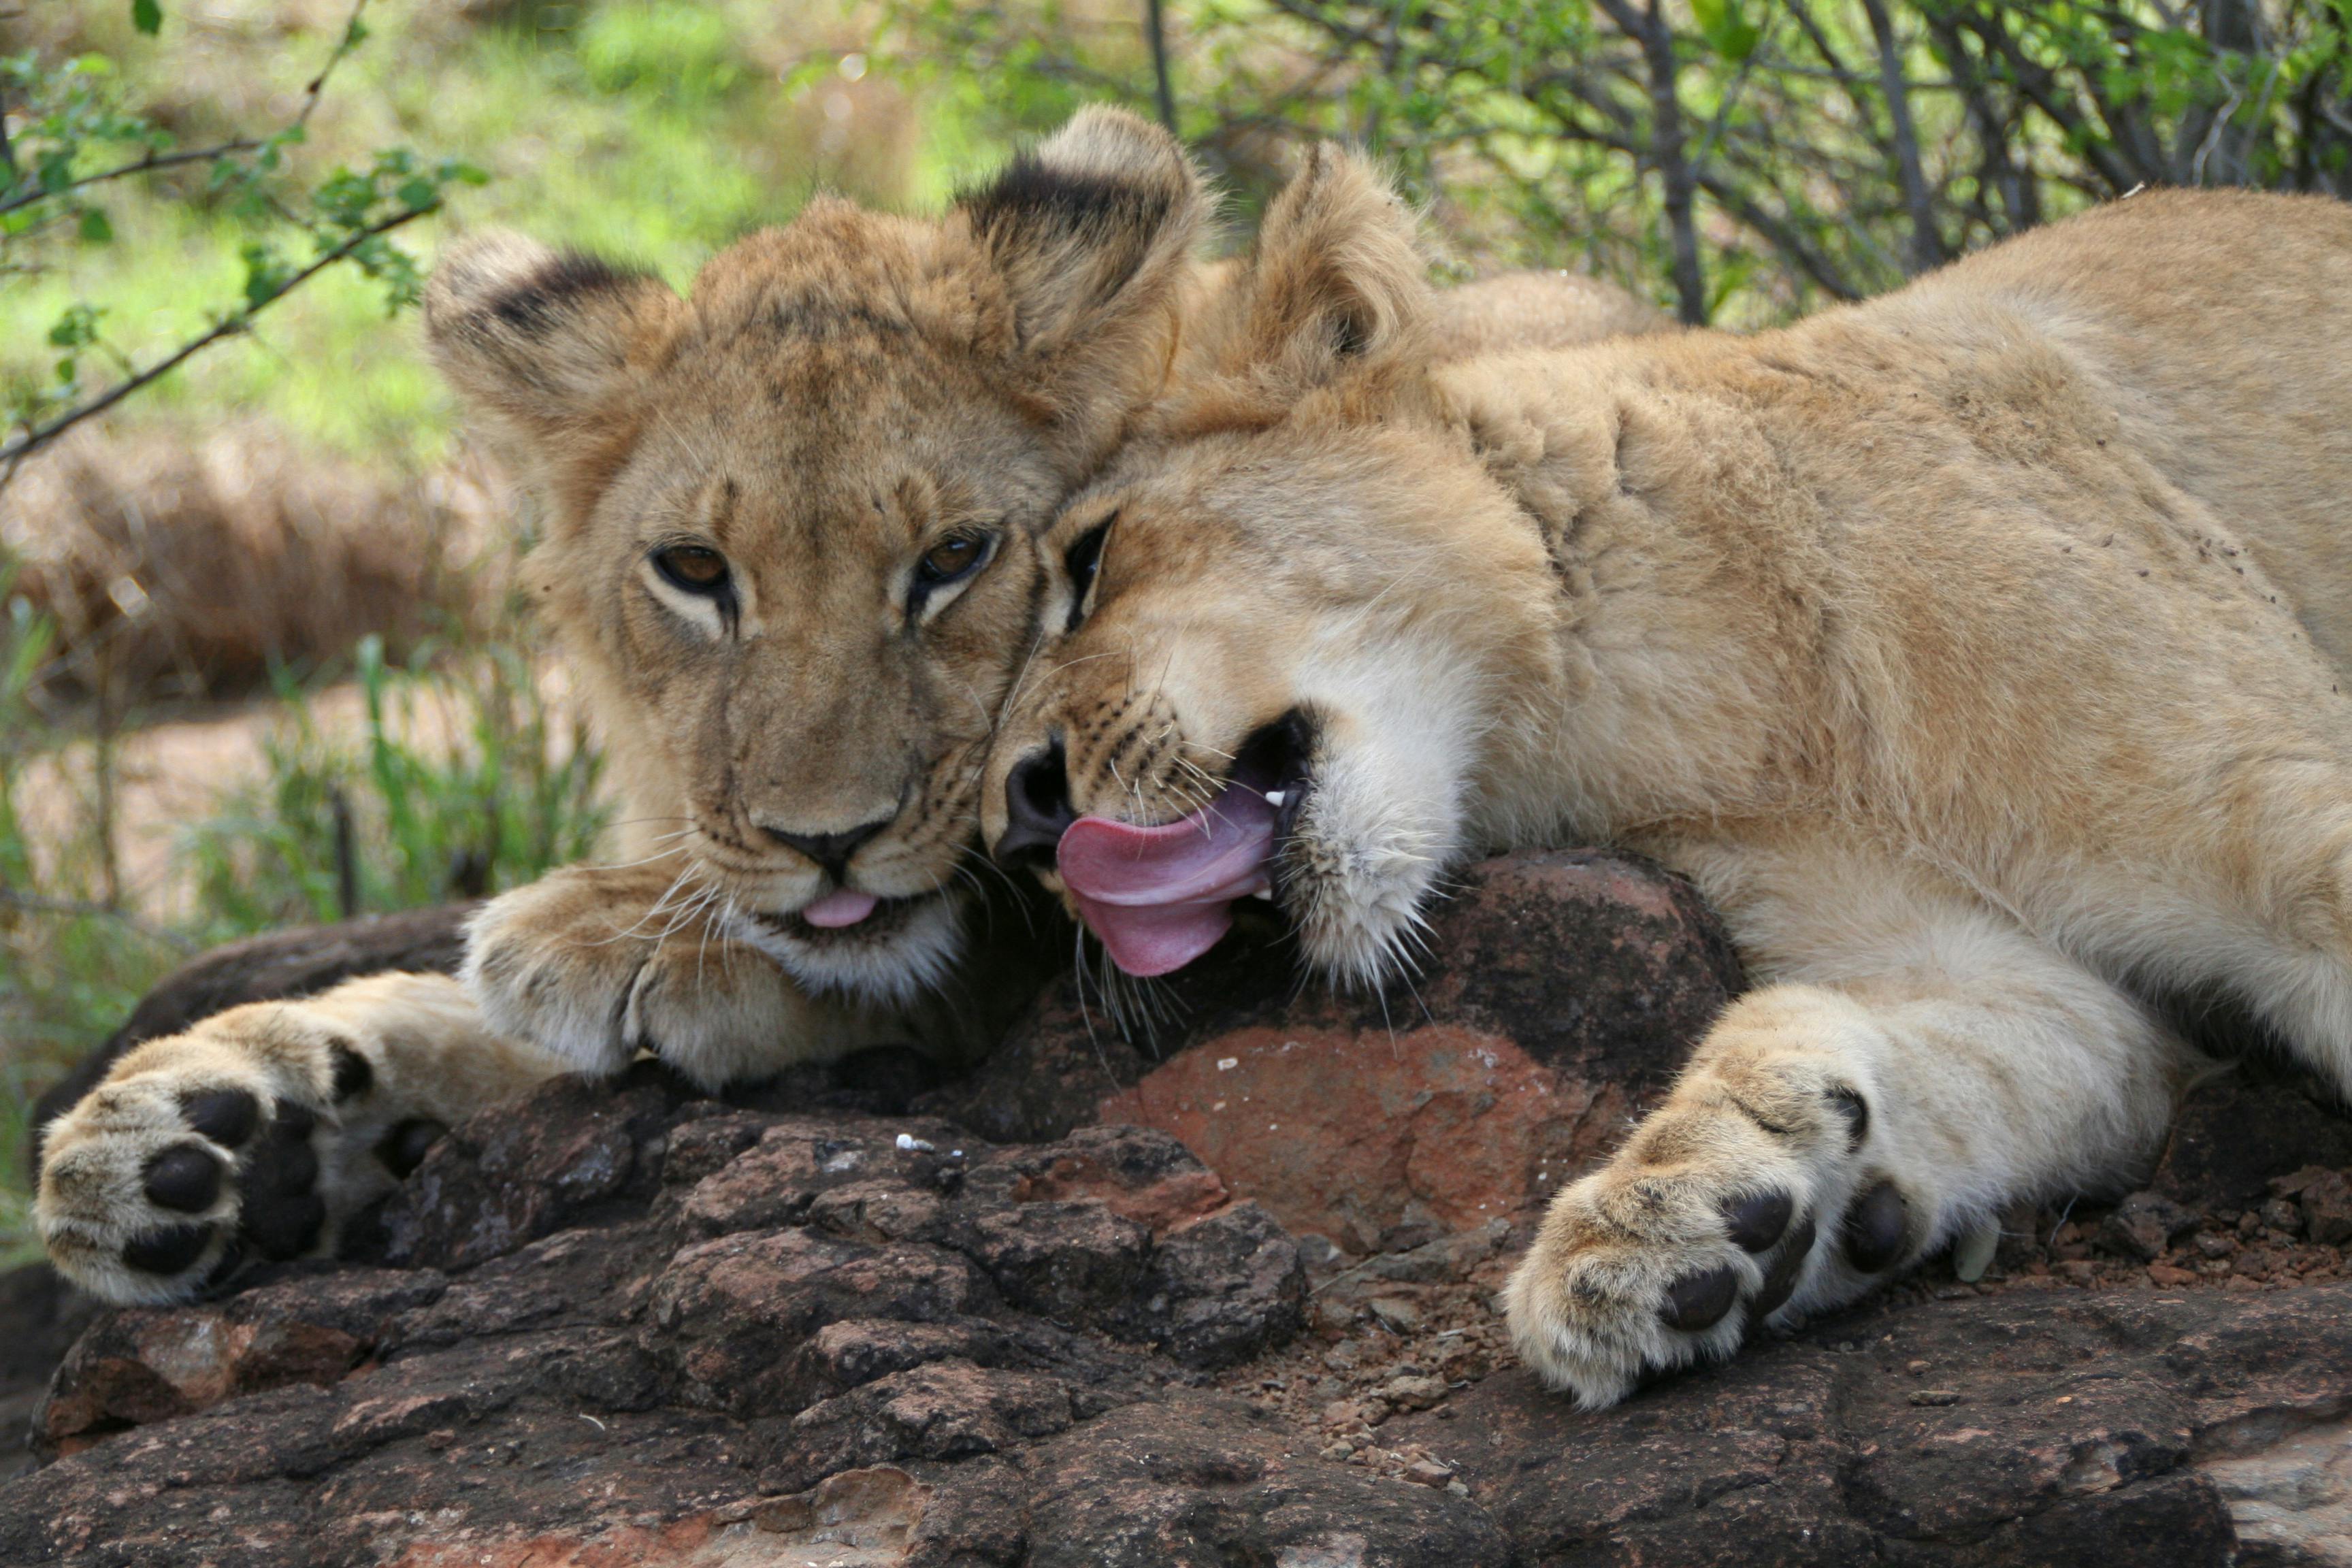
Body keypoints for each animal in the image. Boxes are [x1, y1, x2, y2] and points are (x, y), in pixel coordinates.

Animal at [33, 113, 1669, 1307]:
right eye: (696, 571)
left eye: (952, 559)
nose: (825, 840)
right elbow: (438, 1002)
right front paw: (200, 1129)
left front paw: (624, 943)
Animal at [976, 146, 2352, 1408]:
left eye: (1090, 563)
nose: (1020, 823)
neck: (1669, 697)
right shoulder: (1997, 976)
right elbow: (1875, 1029)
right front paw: (1694, 1218)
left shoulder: (2287, 820)